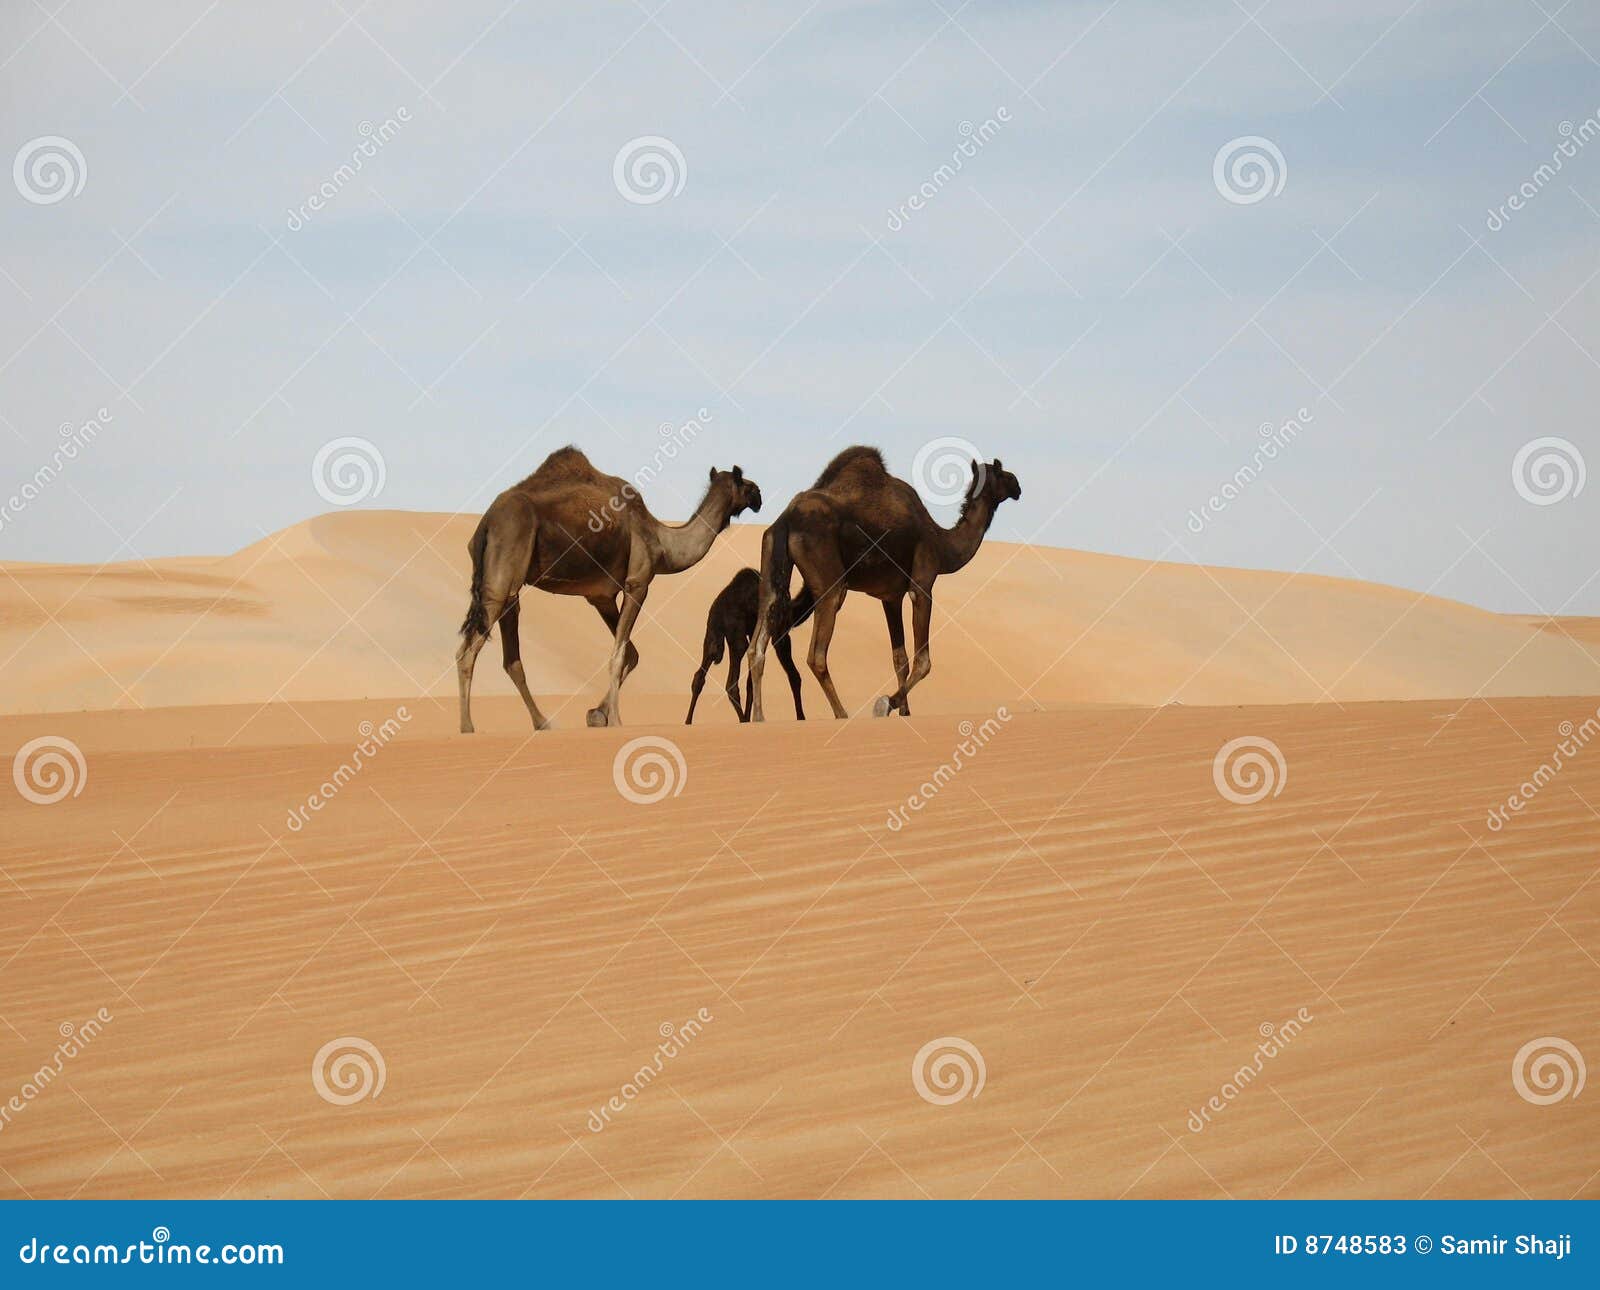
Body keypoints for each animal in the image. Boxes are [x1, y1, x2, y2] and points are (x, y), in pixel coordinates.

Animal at [456, 446, 762, 733]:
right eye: (746, 483)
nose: (759, 496)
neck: (663, 543)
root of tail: (486, 523)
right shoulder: (637, 583)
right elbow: (619, 654)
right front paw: (614, 718)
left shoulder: (601, 597)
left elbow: (630, 653)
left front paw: (596, 714)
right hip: (502, 572)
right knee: (468, 650)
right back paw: (467, 725)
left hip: (507, 587)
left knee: (510, 658)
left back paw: (542, 722)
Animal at [685, 567, 814, 724]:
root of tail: (718, 612)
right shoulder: (780, 633)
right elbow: (794, 676)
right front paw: (801, 717)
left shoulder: (753, 632)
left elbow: (750, 682)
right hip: (736, 635)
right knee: (731, 683)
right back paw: (742, 720)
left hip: (712, 636)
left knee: (700, 675)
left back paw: (688, 721)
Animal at [746, 445, 1020, 722]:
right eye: (1002, 473)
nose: (1018, 485)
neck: (942, 543)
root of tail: (786, 519)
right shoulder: (922, 583)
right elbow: (923, 661)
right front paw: (885, 704)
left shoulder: (890, 597)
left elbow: (900, 658)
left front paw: (905, 712)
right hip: (829, 579)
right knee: (817, 655)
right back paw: (841, 713)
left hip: (770, 566)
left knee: (758, 642)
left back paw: (759, 716)